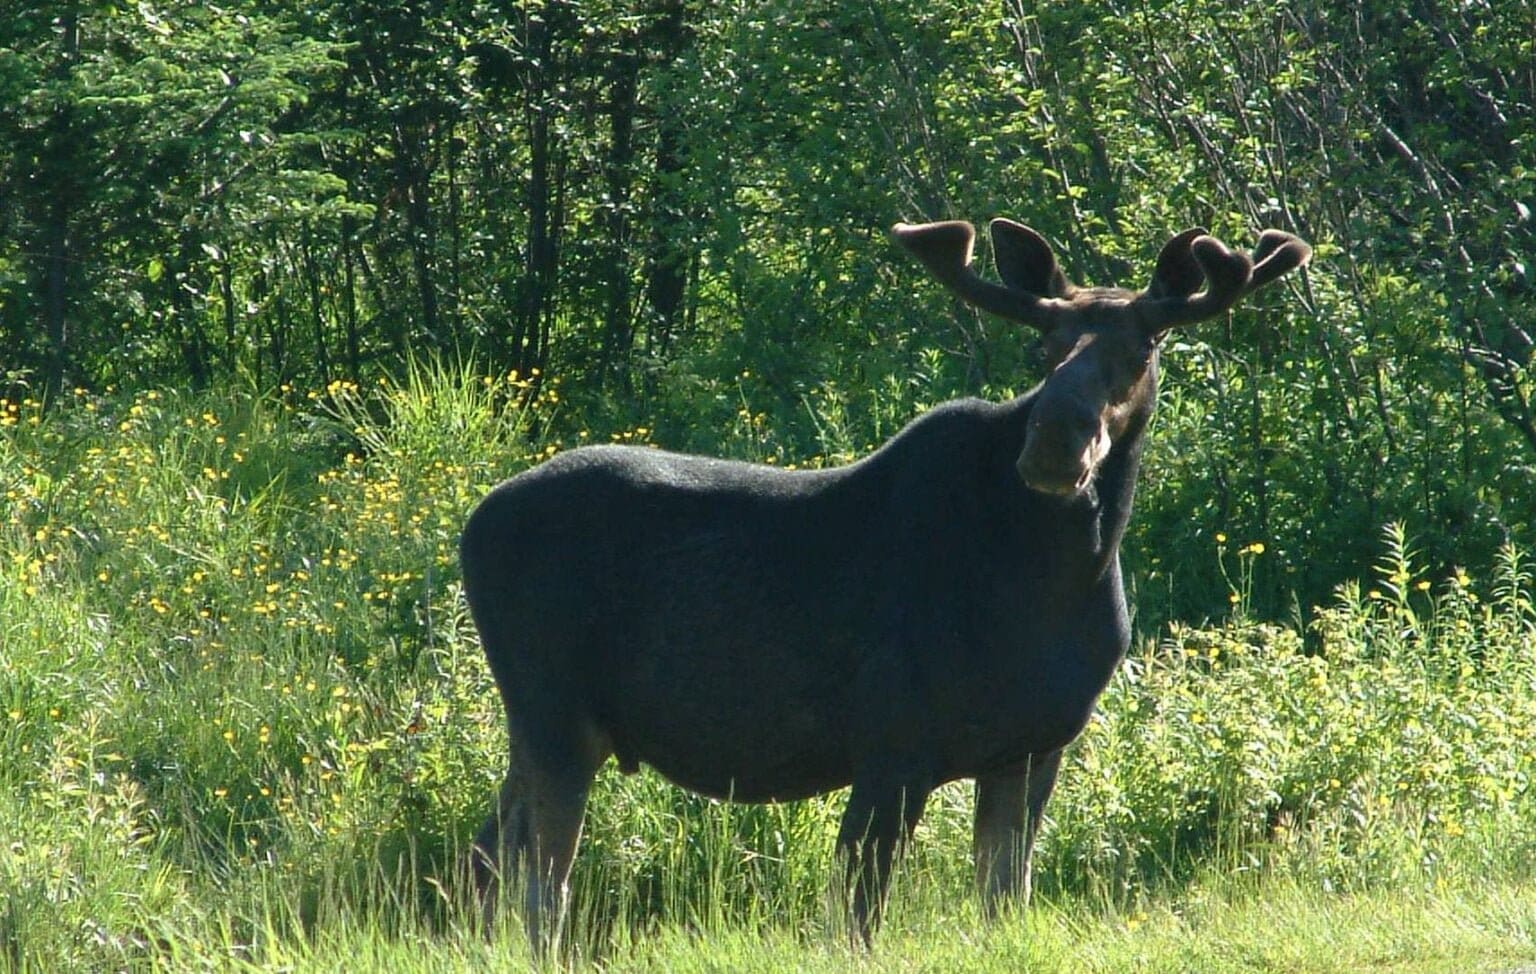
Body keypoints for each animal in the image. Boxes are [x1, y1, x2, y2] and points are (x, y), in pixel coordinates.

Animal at [459, 217, 1311, 951]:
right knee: (541, 881)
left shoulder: (1034, 747)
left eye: (1146, 345)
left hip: (551, 727)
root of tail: (470, 529)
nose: (1054, 440)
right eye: (1043, 346)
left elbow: (1003, 898)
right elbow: (857, 916)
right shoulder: (892, 743)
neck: (1053, 588)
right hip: (553, 711)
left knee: (488, 853)